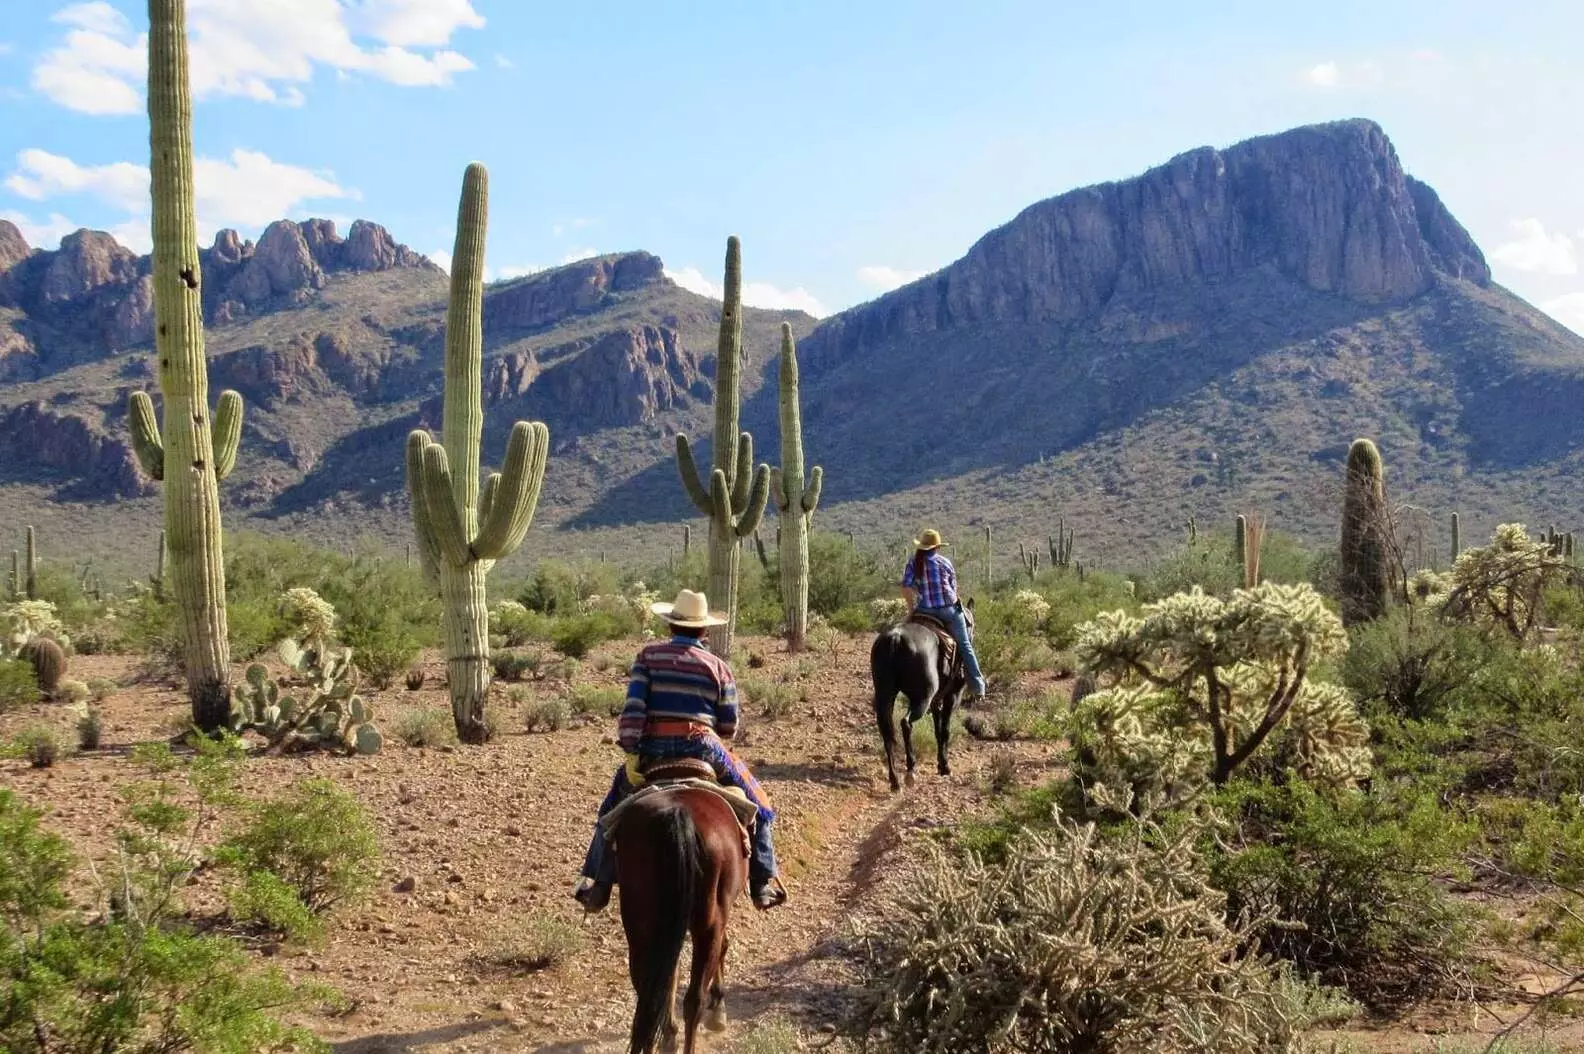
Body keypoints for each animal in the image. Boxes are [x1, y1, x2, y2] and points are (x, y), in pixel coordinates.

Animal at [611, 779, 747, 1052]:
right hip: (707, 926)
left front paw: (669, 1037)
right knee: (694, 999)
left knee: (650, 996)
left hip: (640, 928)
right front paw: (718, 1011)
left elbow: (670, 975)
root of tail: (677, 813)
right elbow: (724, 946)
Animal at [868, 599, 975, 789]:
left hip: (884, 695)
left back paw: (894, 780)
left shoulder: (936, 701)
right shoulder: (952, 697)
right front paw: (945, 767)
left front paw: (940, 764)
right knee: (906, 723)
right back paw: (910, 770)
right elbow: (945, 730)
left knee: (886, 732)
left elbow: (937, 730)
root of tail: (896, 638)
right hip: (922, 698)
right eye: (969, 623)